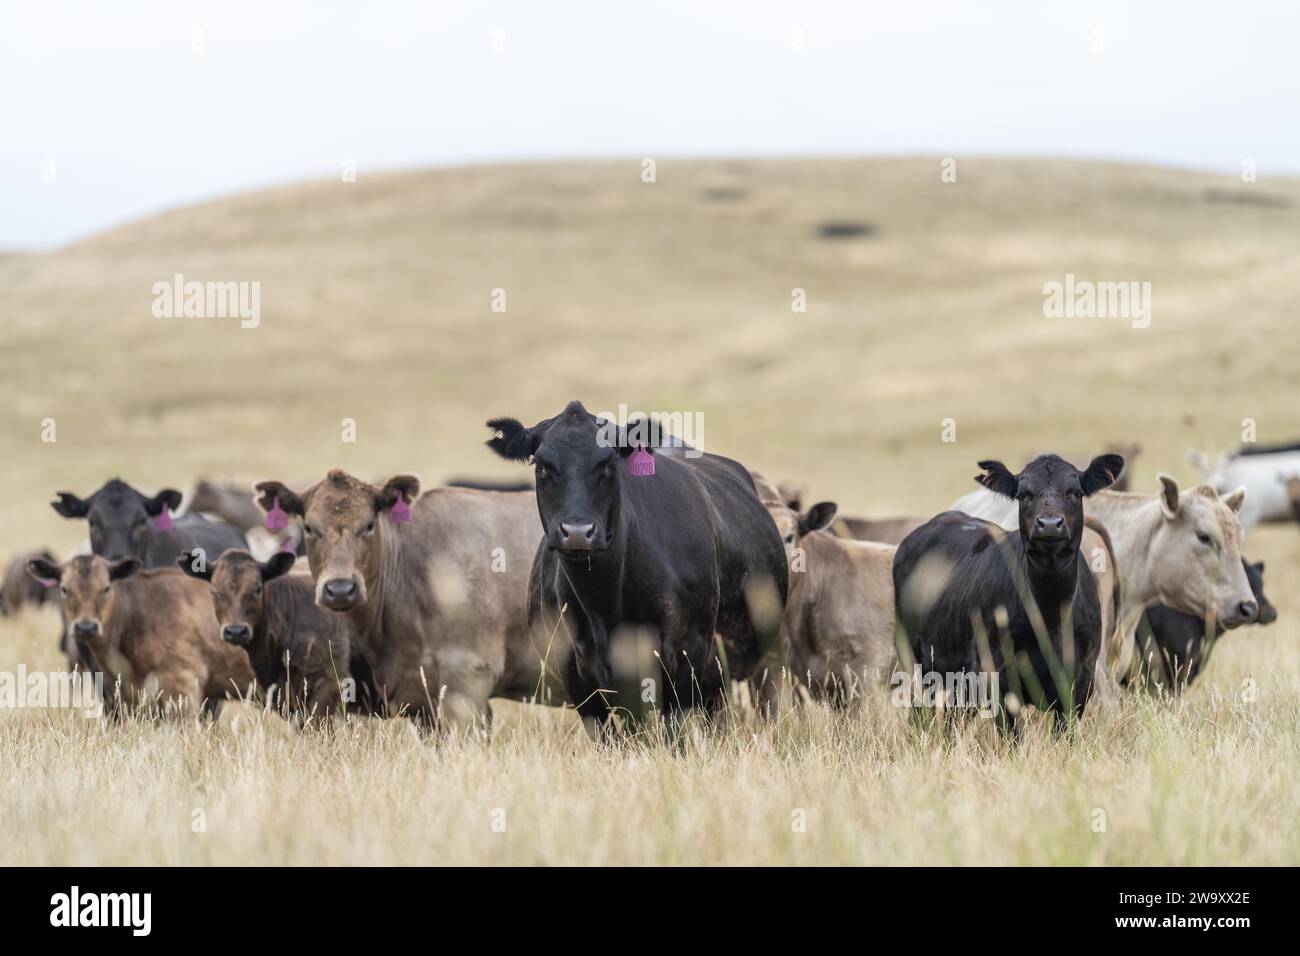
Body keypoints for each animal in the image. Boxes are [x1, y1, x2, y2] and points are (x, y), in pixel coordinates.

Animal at [486, 401, 788, 722]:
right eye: (541, 466)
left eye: (609, 464)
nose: (578, 533)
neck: (604, 604)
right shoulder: (578, 678)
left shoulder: (687, 660)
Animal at [894, 453, 1124, 725]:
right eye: (1023, 495)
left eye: (1075, 492)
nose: (1049, 524)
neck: (1051, 613)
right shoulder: (999, 677)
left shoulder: (1081, 679)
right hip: (914, 662)